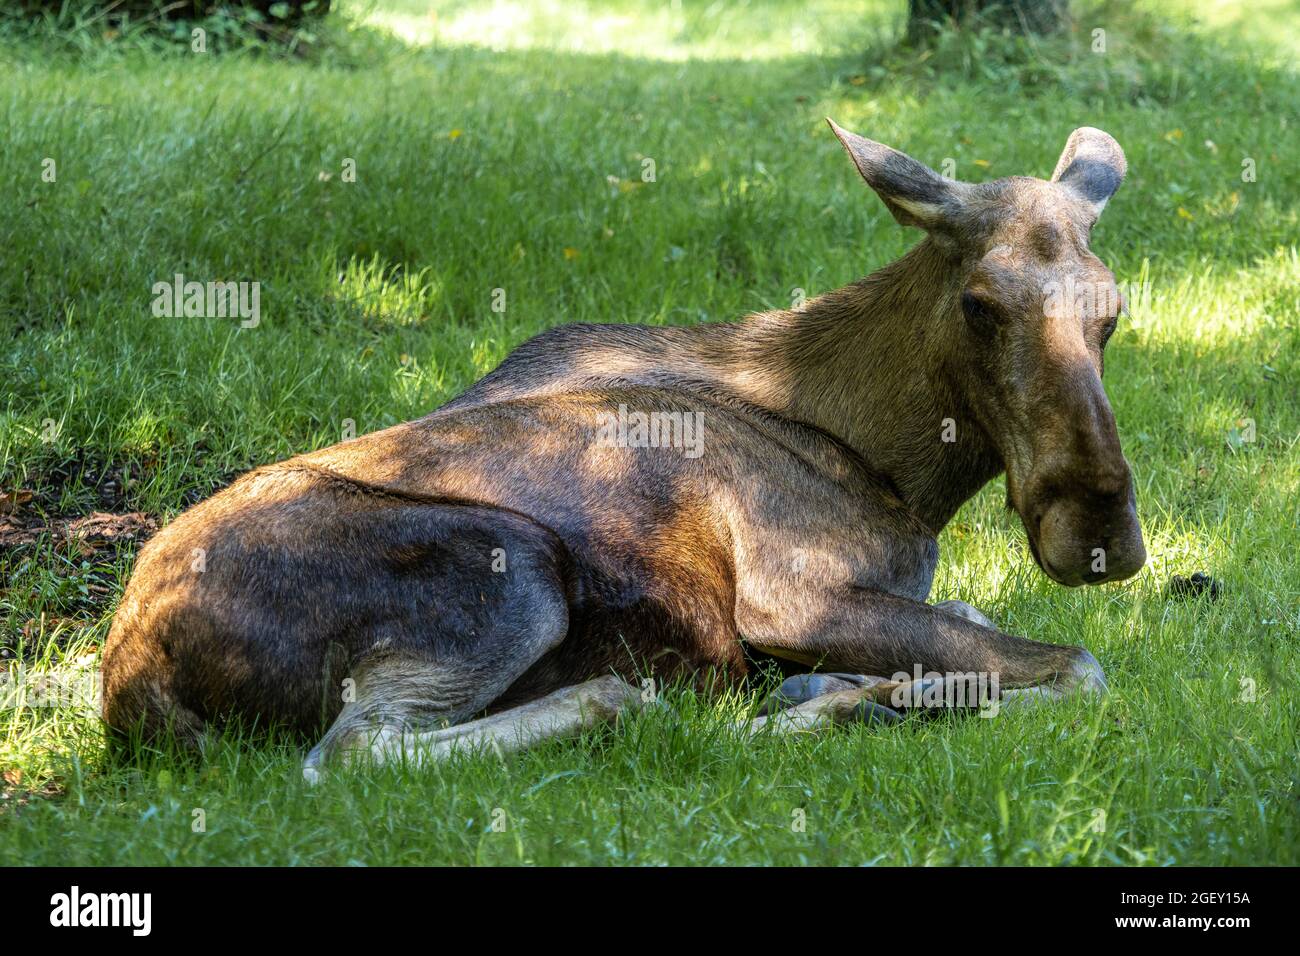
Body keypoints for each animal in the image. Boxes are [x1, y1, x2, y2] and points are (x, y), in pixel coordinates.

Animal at [102, 121, 1145, 778]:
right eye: (979, 302)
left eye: (1115, 309)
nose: (1100, 530)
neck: (904, 474)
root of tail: (127, 683)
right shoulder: (792, 592)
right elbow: (1080, 668)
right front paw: (891, 690)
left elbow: (972, 620)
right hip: (508, 565)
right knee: (359, 752)